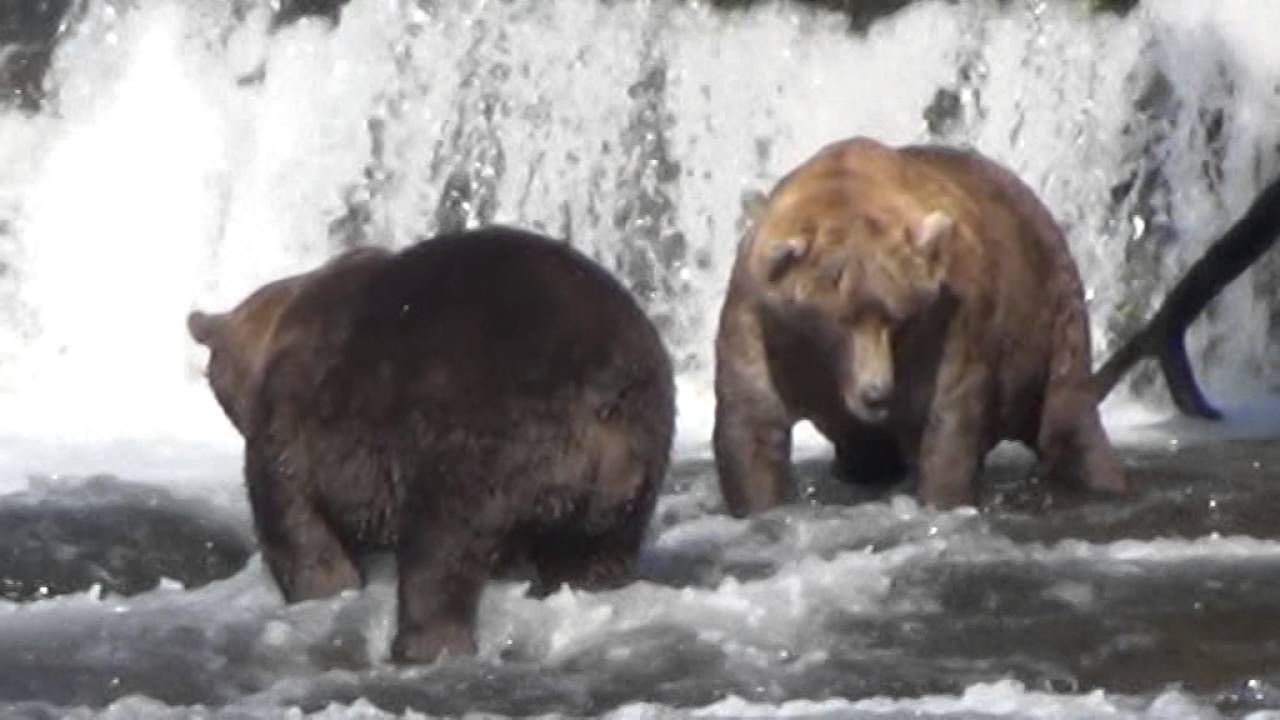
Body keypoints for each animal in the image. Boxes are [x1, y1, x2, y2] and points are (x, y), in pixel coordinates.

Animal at [187, 227, 675, 663]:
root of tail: (605, 389)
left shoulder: (296, 422)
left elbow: (293, 518)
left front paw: (323, 589)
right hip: (636, 463)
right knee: (594, 553)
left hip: (480, 432)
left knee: (442, 548)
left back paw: (423, 644)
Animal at [713, 136, 1126, 516]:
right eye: (838, 321)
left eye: (896, 319)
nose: (876, 393)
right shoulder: (760, 321)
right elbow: (752, 427)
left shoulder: (950, 324)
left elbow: (946, 430)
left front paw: (942, 498)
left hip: (1055, 317)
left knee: (1069, 425)